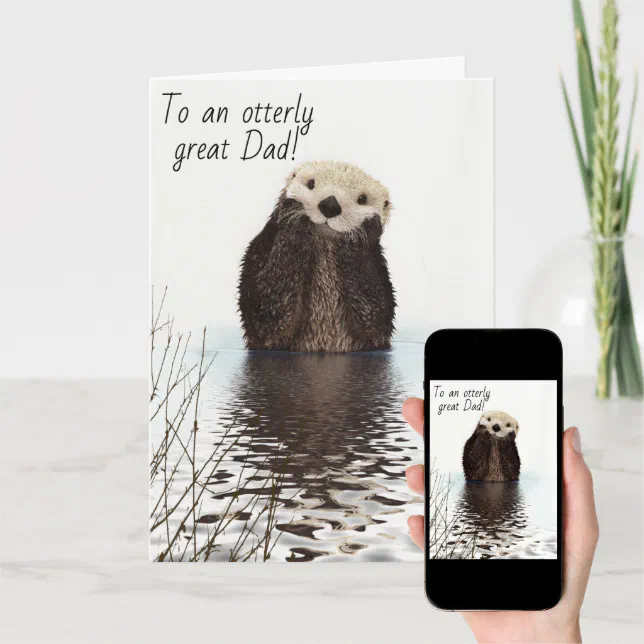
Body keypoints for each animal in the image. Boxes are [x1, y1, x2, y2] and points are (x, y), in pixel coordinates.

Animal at [238, 161, 395, 352]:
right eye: (311, 183)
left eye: (362, 199)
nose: (330, 205)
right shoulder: (259, 250)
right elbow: (265, 308)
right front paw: (295, 215)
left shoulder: (379, 271)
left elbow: (375, 314)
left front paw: (360, 233)